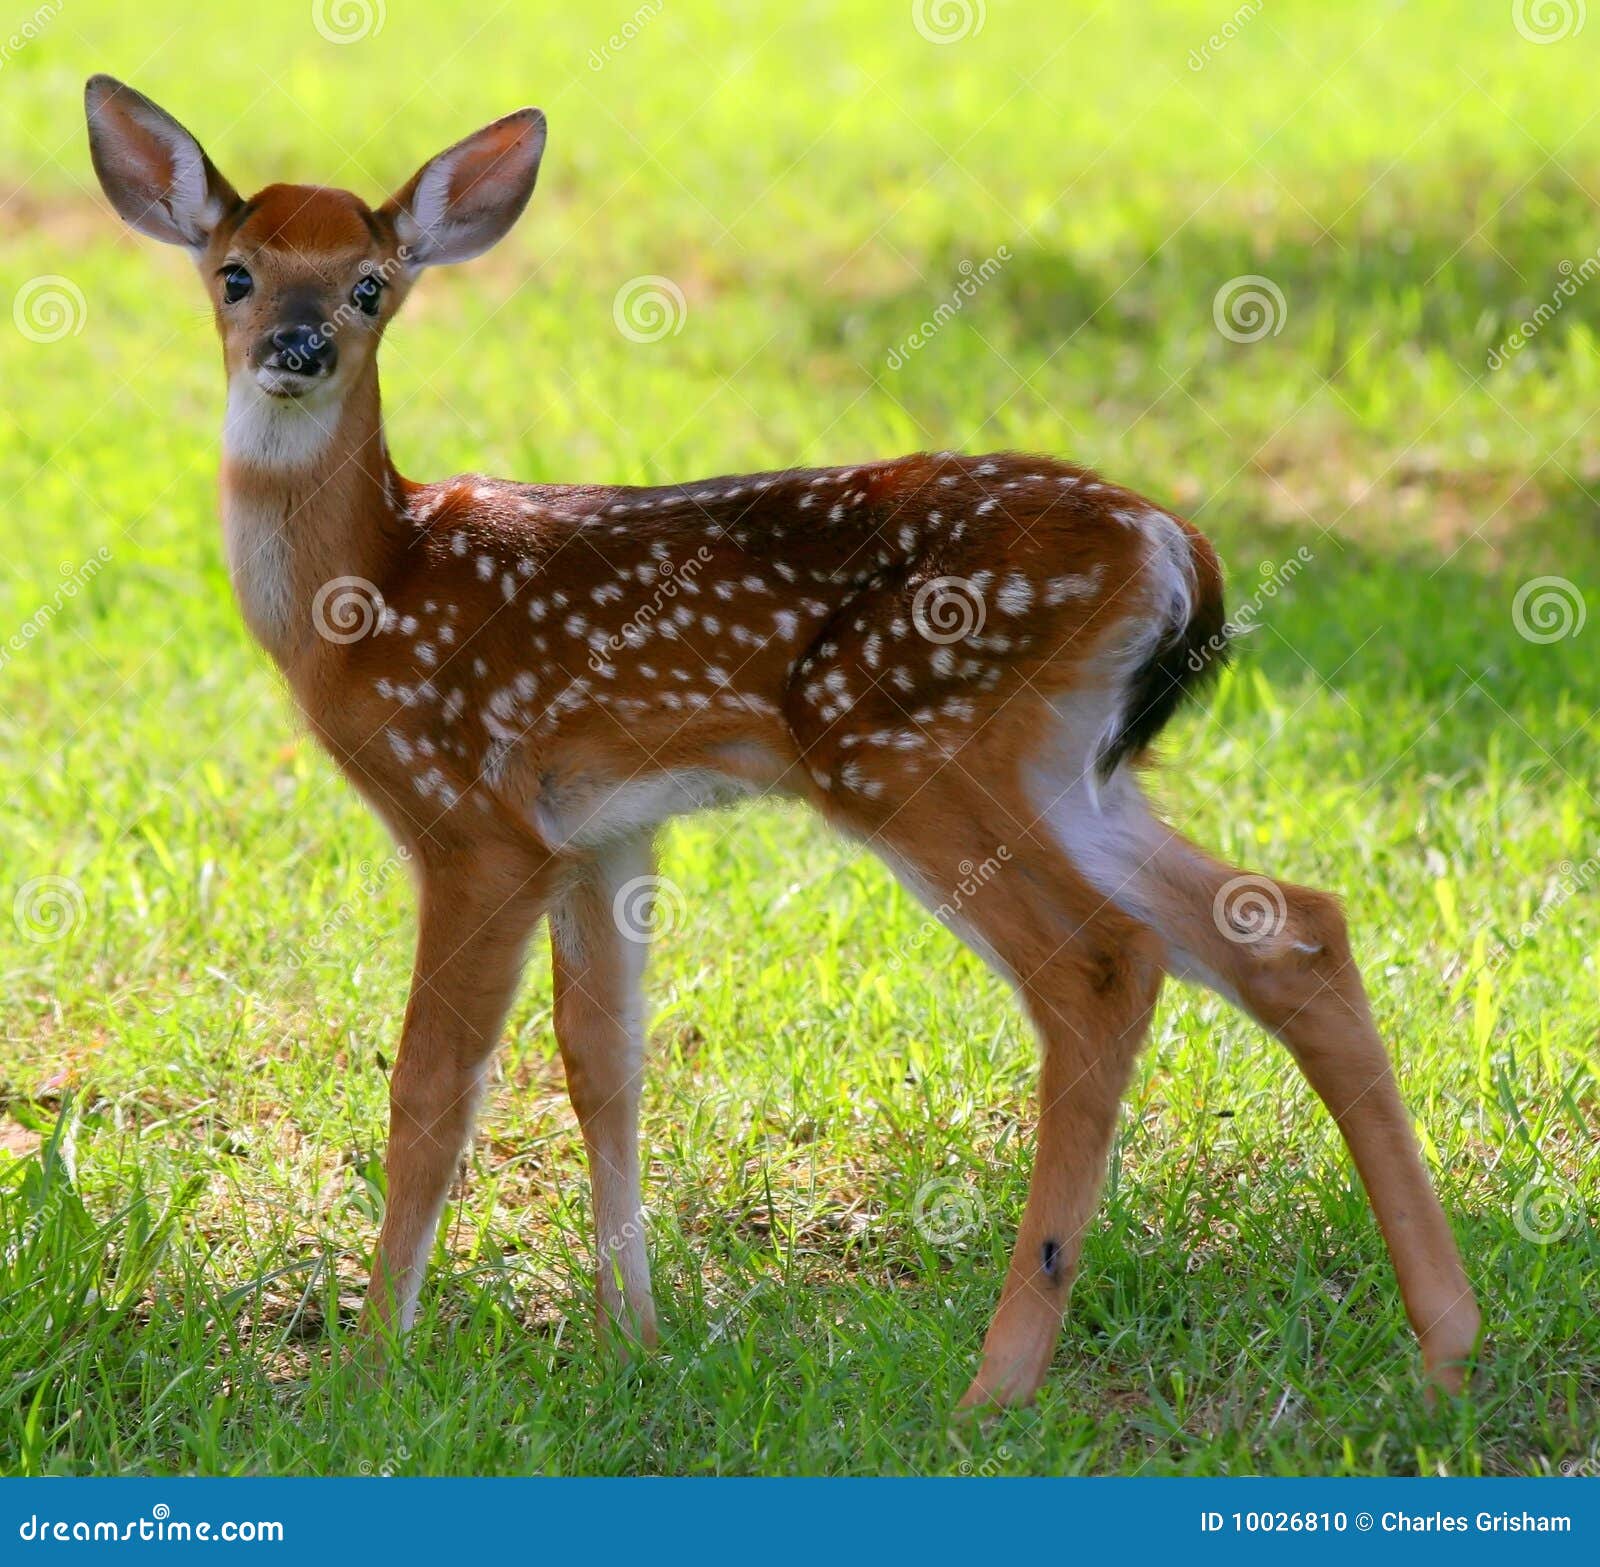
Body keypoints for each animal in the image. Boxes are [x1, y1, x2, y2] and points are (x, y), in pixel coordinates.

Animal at [84, 75, 1480, 1411]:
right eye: (236, 270)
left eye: (372, 283)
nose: (298, 347)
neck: (373, 591)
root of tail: (1174, 548)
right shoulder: (599, 827)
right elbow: (605, 1065)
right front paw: (635, 1342)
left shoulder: (471, 818)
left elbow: (432, 1091)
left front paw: (373, 1364)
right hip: (1067, 764)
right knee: (1287, 925)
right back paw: (1447, 1346)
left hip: (907, 741)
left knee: (1106, 964)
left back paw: (997, 1384)